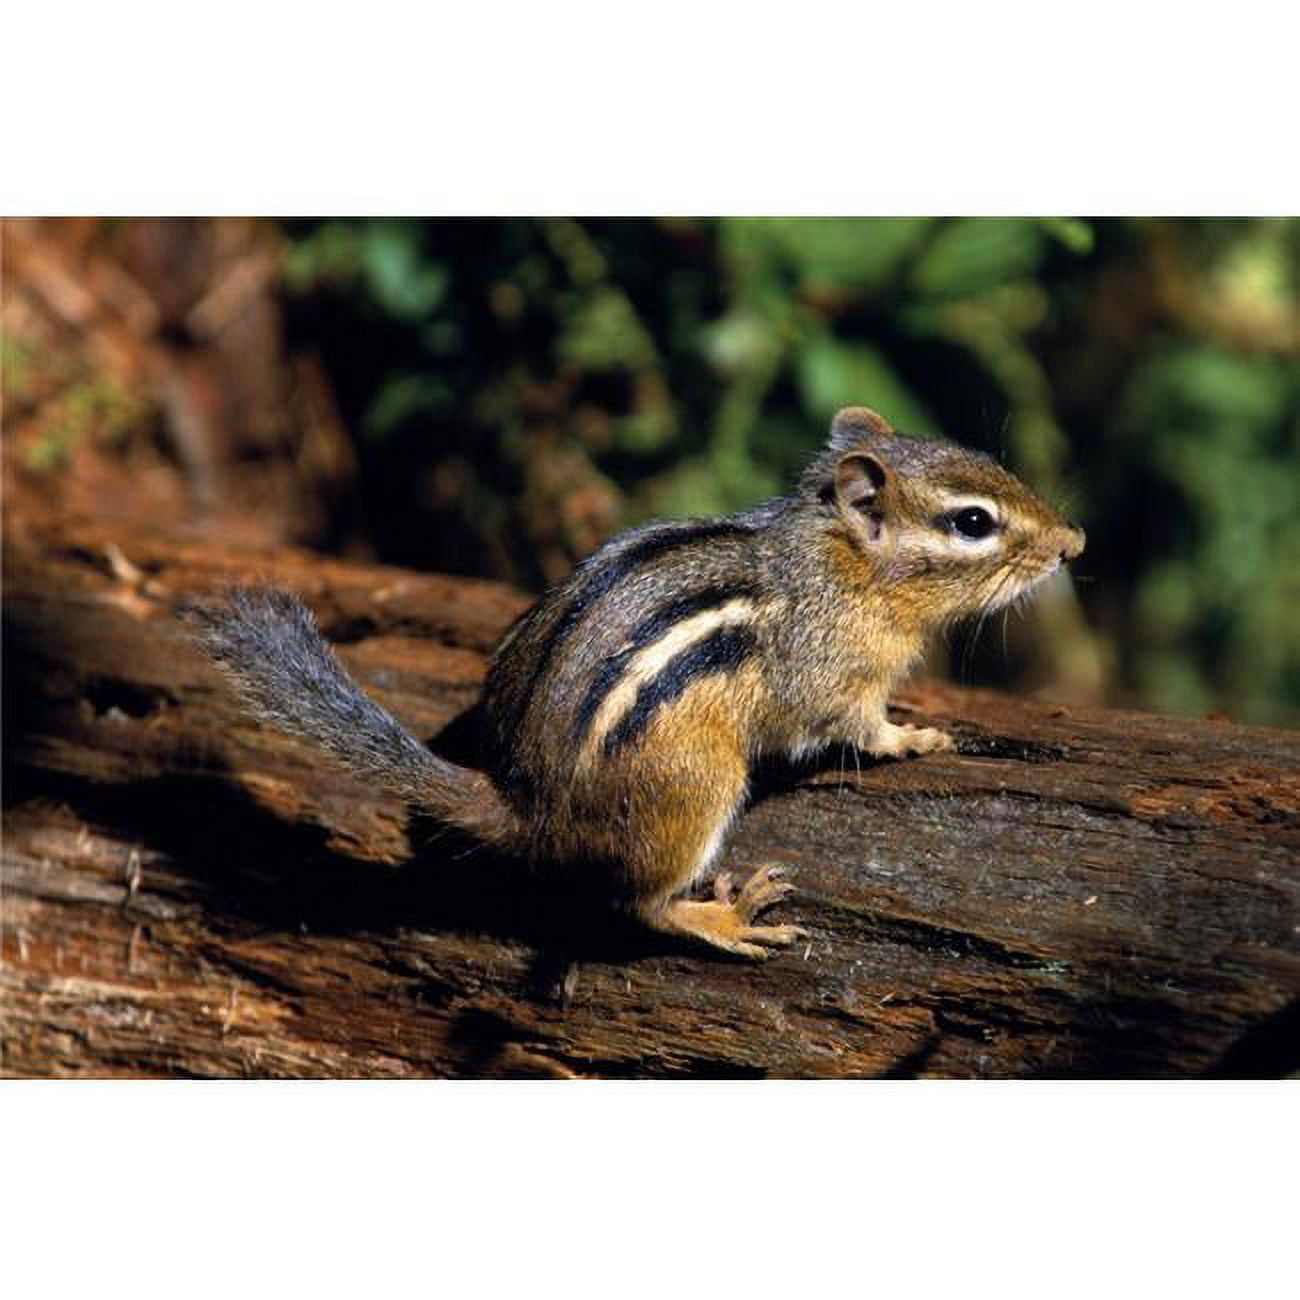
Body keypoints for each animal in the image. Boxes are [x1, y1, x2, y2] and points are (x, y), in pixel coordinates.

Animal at [194, 406, 1084, 960]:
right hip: (697, 787)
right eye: (973, 522)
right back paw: (729, 916)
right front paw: (916, 735)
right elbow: (855, 727)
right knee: (638, 906)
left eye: (992, 463)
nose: (1074, 542)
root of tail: (525, 803)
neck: (843, 562)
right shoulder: (831, 674)